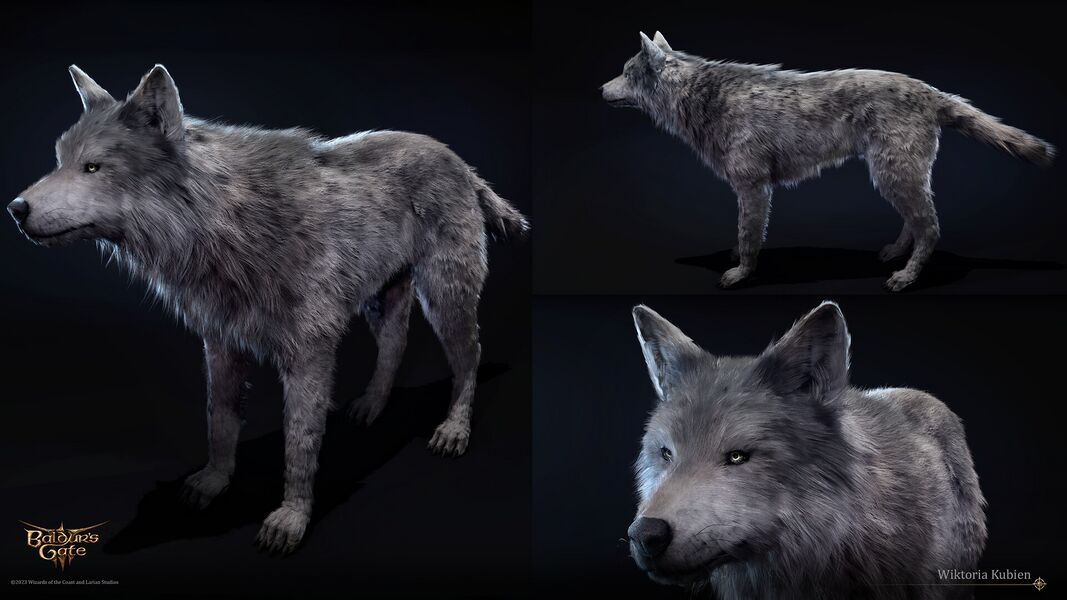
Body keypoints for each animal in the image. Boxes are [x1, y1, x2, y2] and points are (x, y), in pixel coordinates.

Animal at [7, 64, 528, 554]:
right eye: (60, 161)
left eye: (93, 167)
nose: (15, 208)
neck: (223, 225)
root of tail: (458, 160)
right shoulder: (219, 342)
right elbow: (219, 421)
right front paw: (213, 482)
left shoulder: (310, 354)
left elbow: (299, 443)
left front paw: (290, 520)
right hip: (384, 297)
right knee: (396, 344)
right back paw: (371, 406)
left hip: (444, 295)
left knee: (469, 356)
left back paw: (454, 429)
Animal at [603, 32, 1055, 291]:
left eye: (626, 71)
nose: (600, 89)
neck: (700, 96)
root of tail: (932, 92)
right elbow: (743, 235)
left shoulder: (753, 186)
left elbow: (750, 235)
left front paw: (741, 274)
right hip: (893, 174)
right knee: (915, 220)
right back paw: (895, 252)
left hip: (893, 173)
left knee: (930, 226)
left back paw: (906, 277)